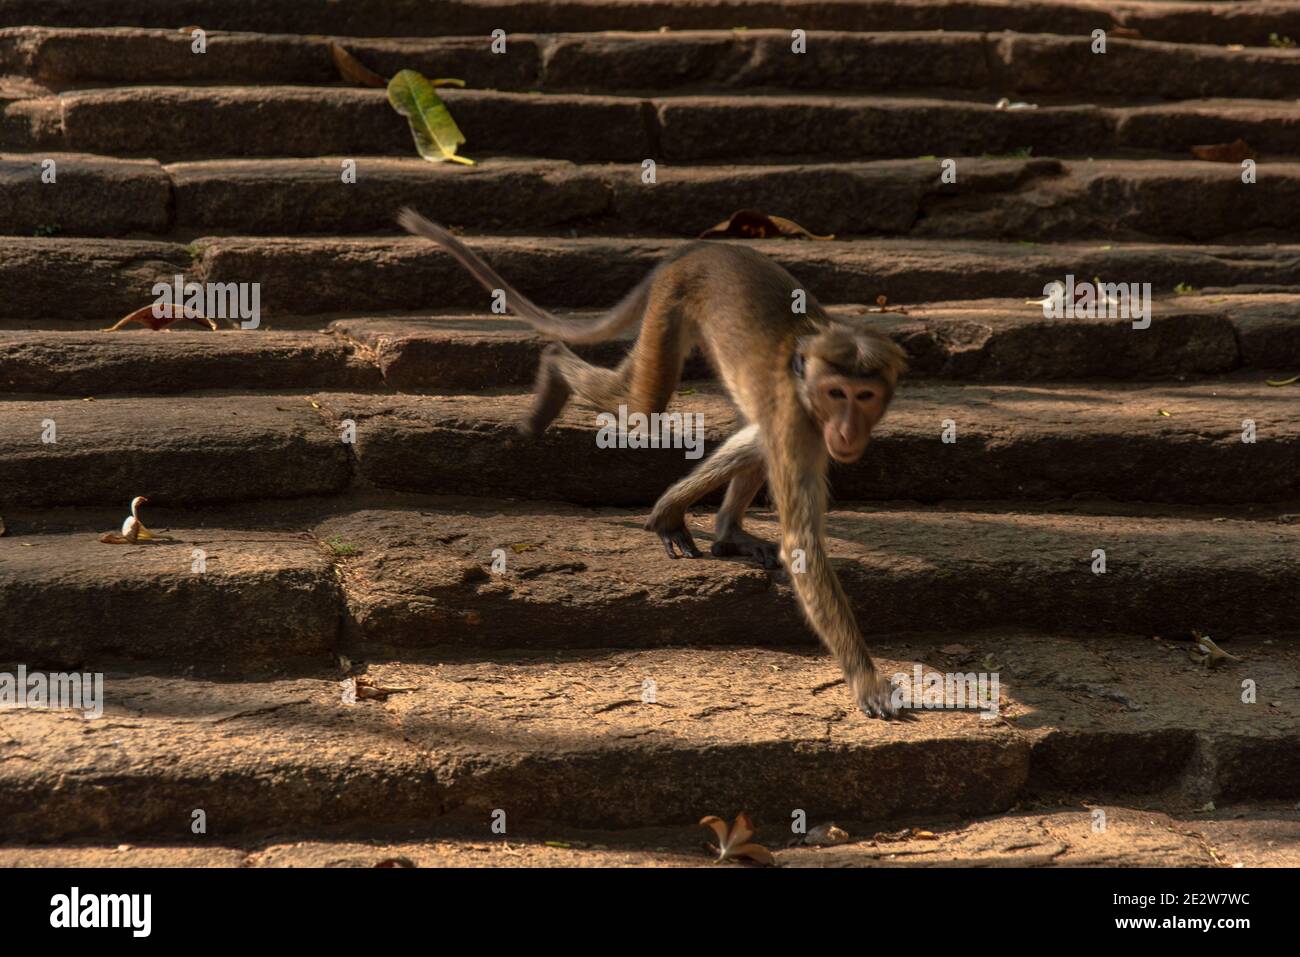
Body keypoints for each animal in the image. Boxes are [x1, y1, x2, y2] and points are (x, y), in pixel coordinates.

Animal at [398, 209, 909, 719]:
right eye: (837, 393)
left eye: (864, 397)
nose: (847, 429)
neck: (808, 393)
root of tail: (701, 247)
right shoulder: (795, 418)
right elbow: (802, 541)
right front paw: (865, 679)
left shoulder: (799, 424)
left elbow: (756, 444)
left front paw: (691, 519)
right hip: (670, 303)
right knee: (643, 406)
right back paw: (555, 369)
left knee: (733, 429)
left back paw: (724, 531)